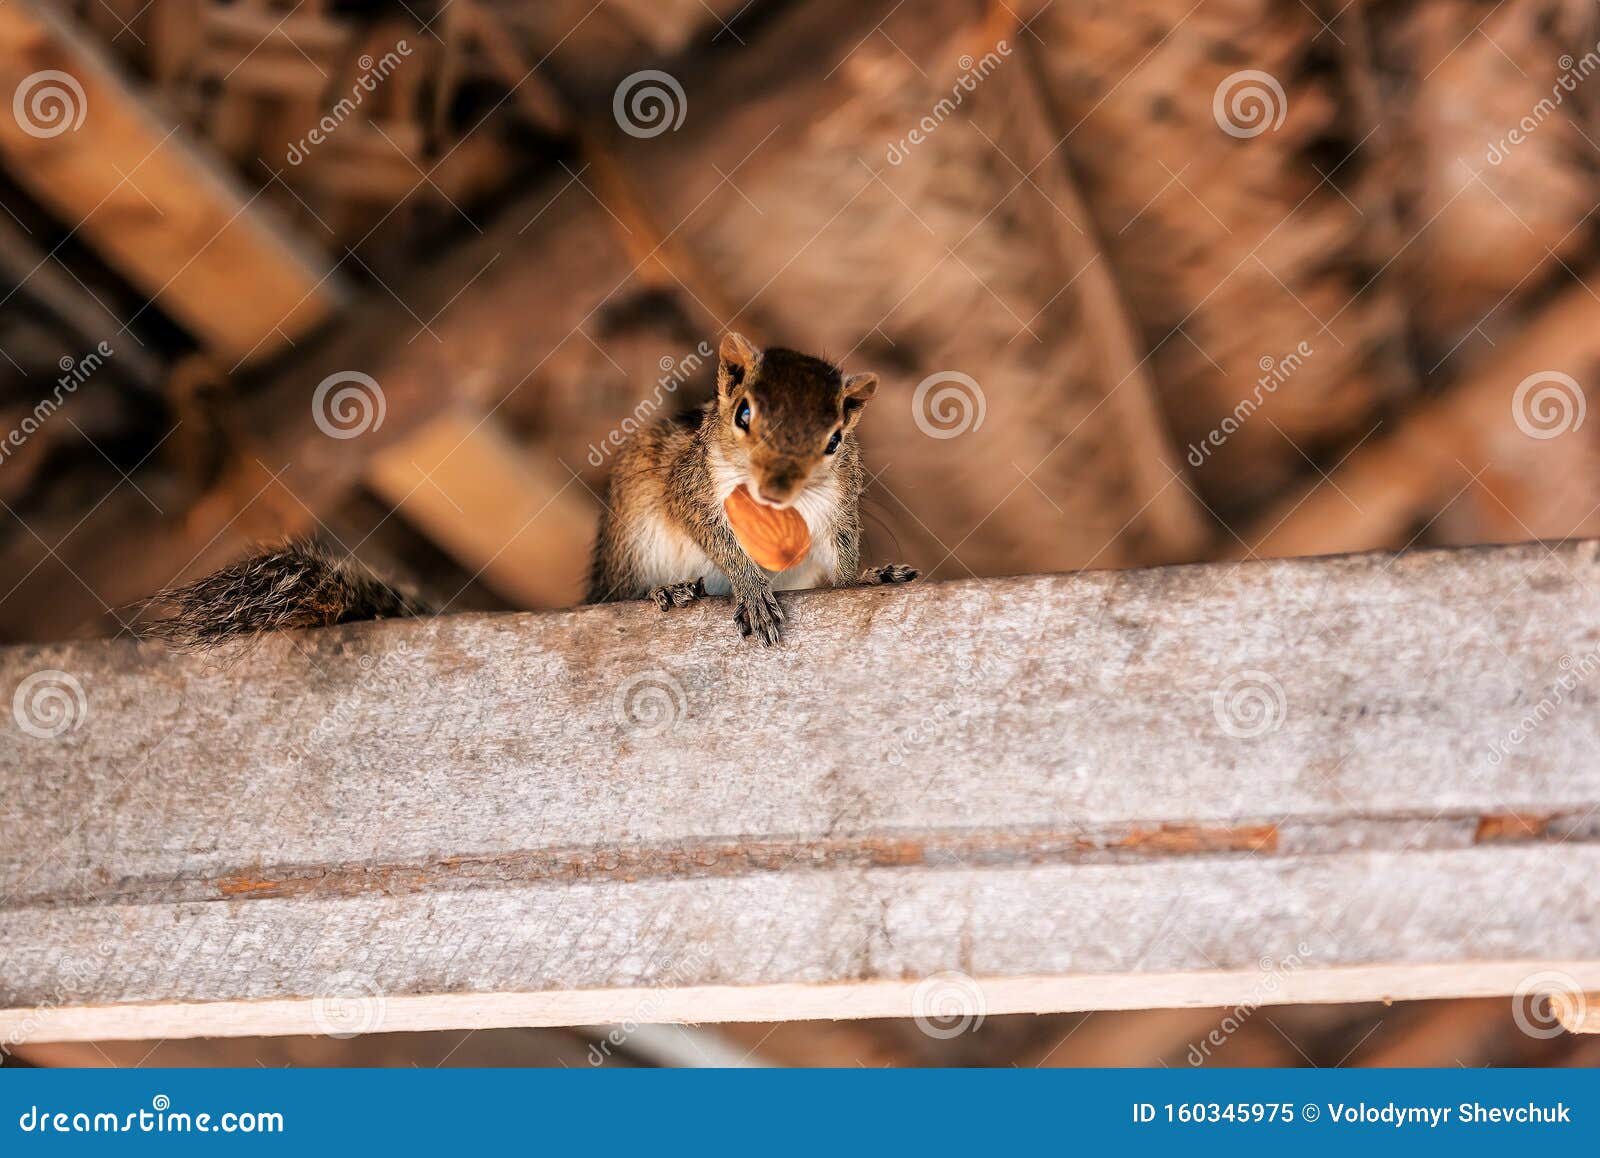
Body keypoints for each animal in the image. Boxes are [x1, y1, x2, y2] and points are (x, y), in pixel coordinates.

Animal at [146, 333, 916, 649]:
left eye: (834, 440)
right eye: (744, 414)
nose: (777, 488)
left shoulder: (837, 506)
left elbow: (840, 557)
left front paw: (867, 577)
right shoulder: (690, 481)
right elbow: (710, 529)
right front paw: (751, 586)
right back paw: (668, 592)